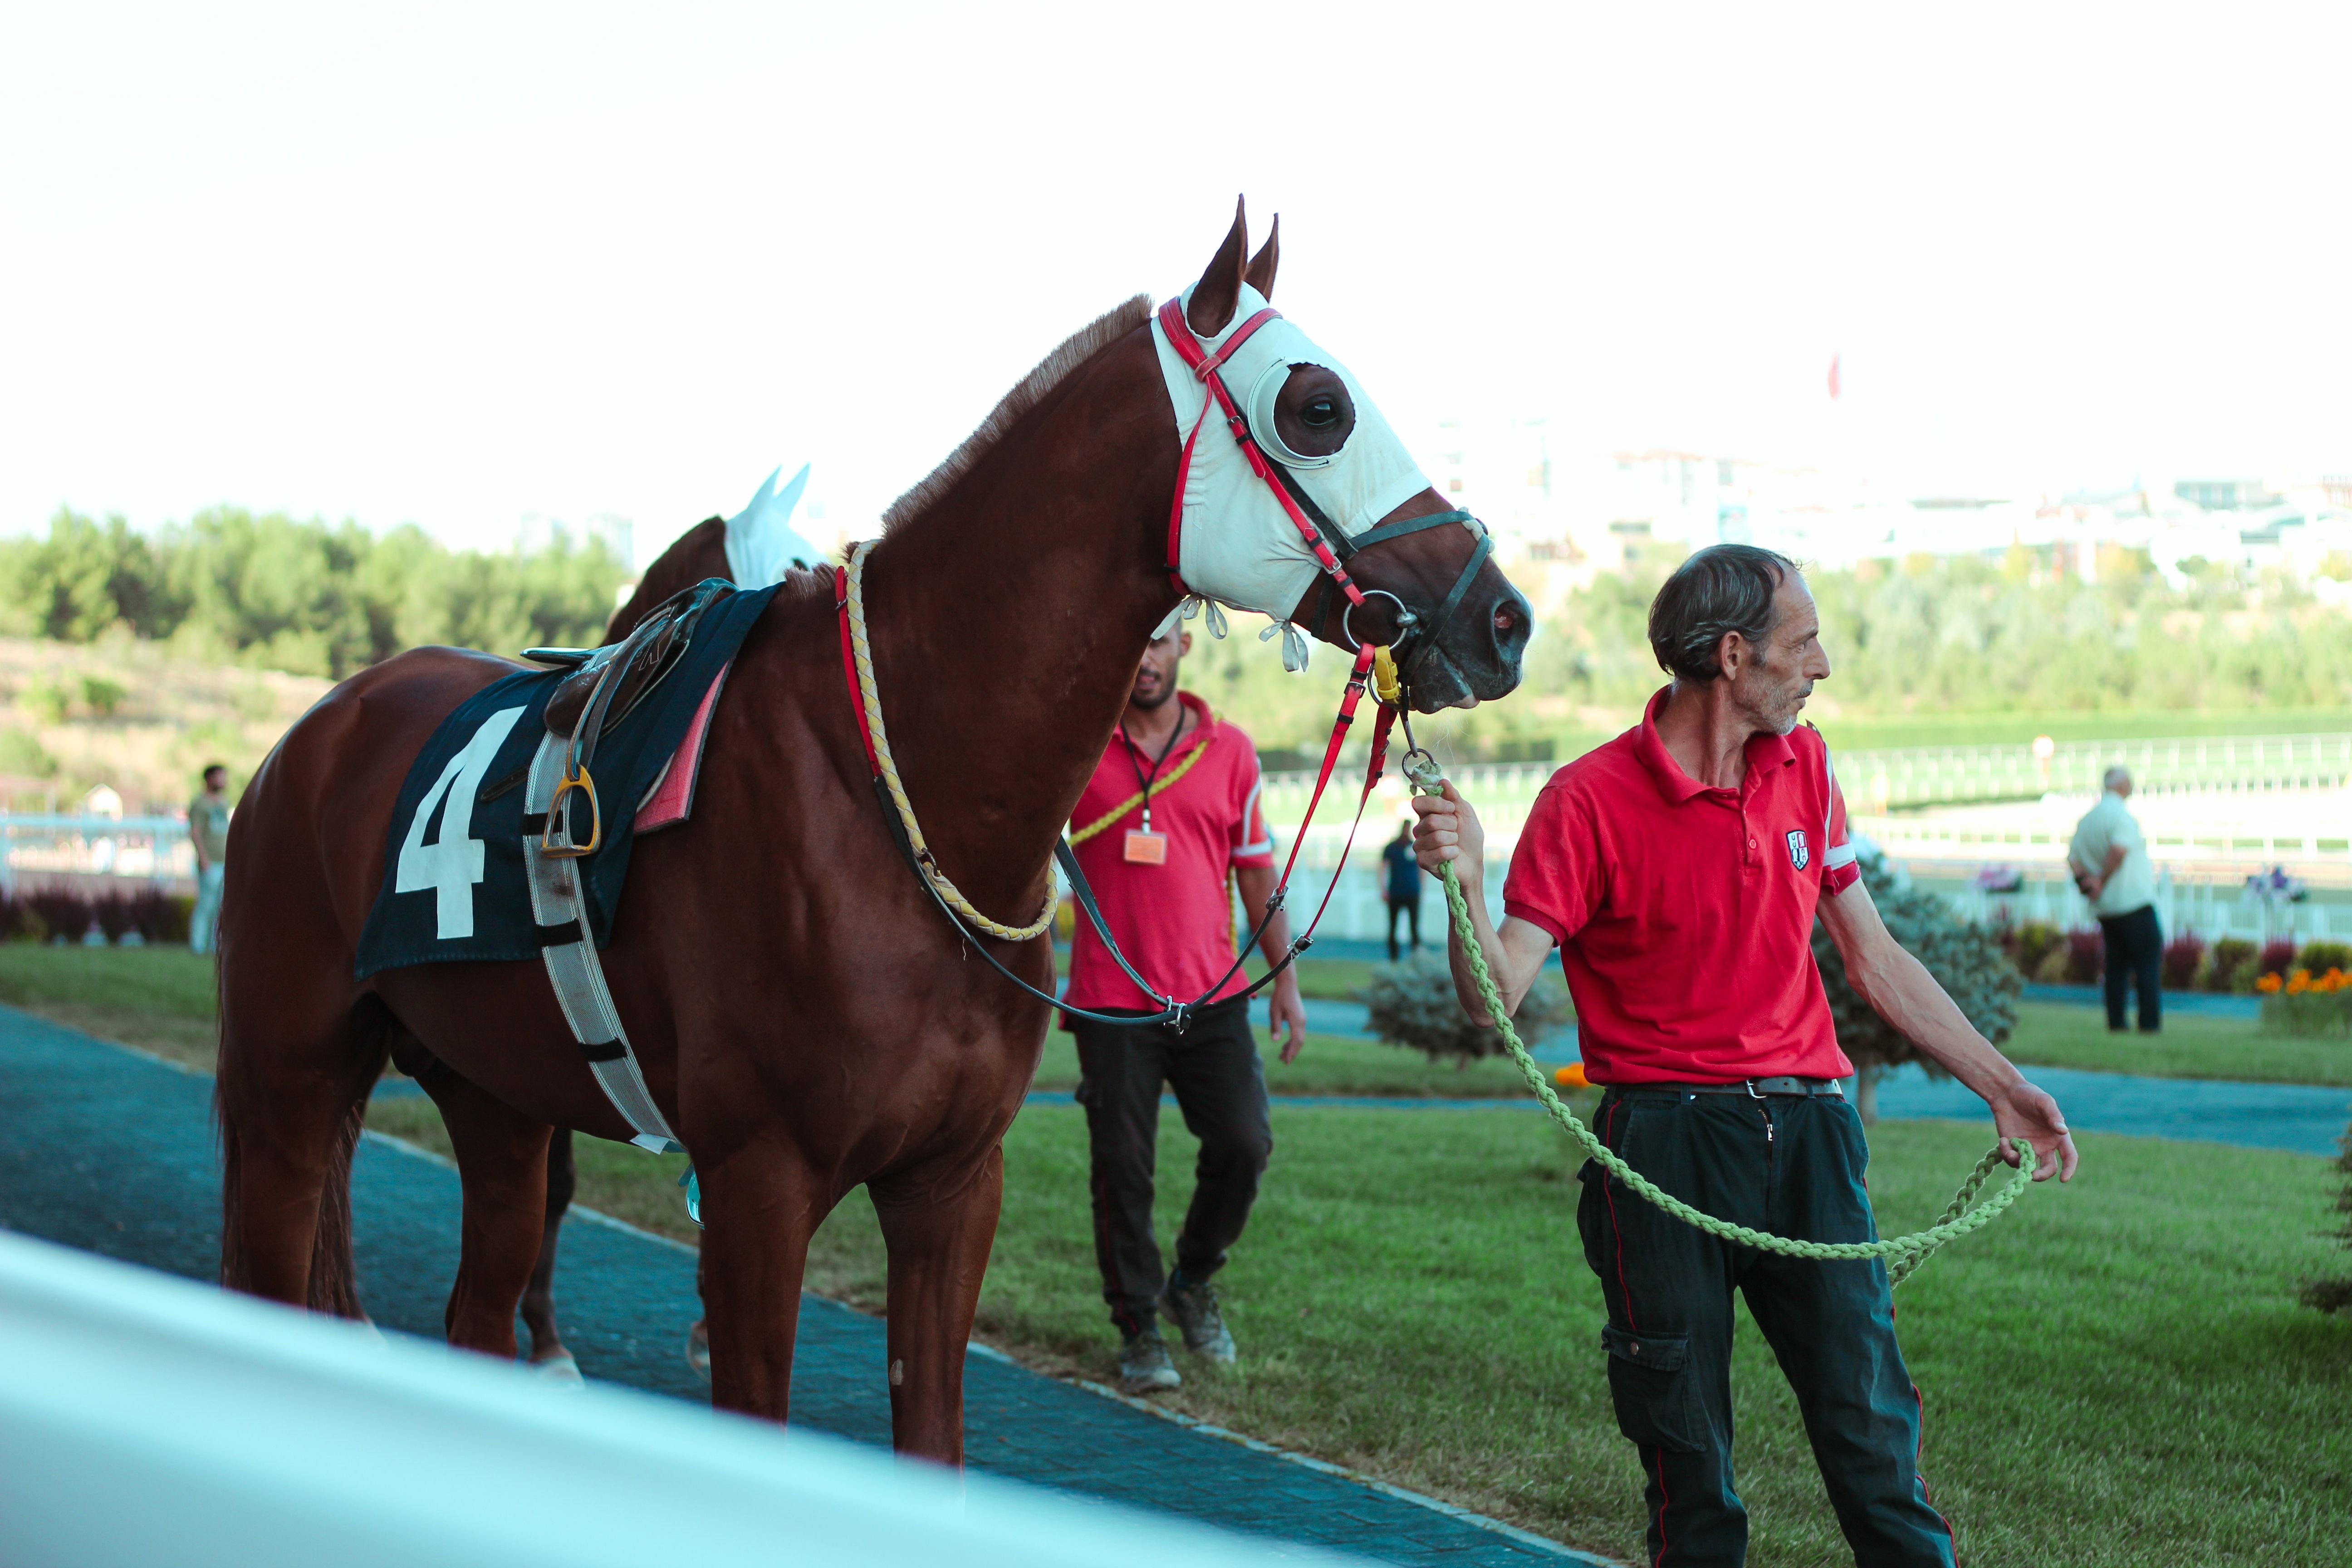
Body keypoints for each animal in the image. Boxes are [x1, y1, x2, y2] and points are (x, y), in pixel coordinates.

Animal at [214, 201, 1531, 1463]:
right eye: (1318, 408)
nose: (1503, 616)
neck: (905, 791)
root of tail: (317, 727)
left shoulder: (951, 1183)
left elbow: (932, 1432)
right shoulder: (757, 1181)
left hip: (496, 1097)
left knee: (476, 1312)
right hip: (287, 1078)